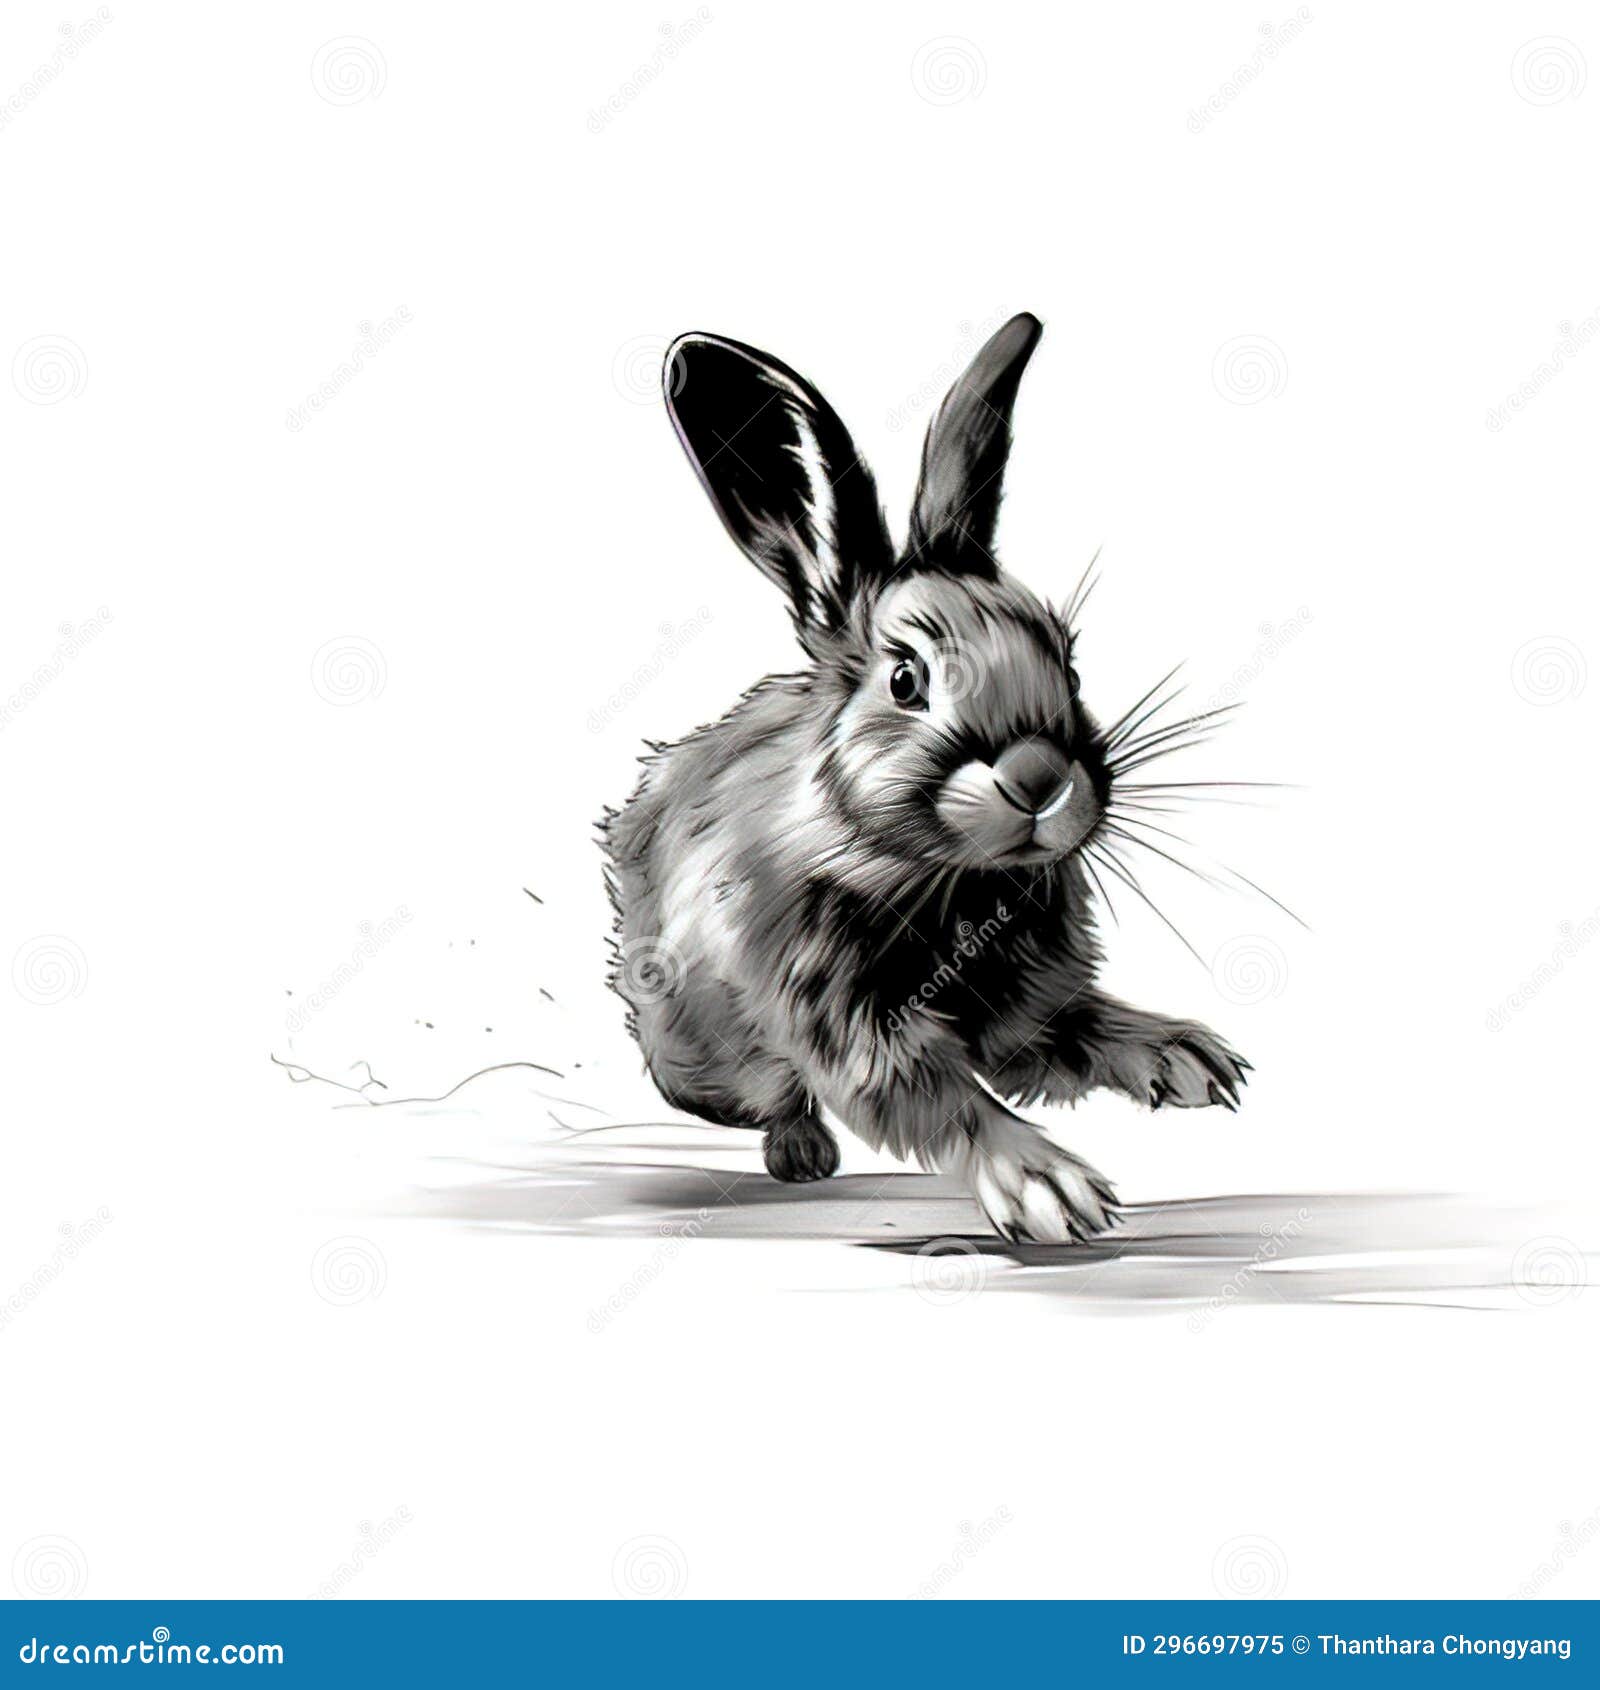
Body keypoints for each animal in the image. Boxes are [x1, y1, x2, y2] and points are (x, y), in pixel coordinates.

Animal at [600, 313, 1248, 1243]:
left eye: (1068, 664)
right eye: (906, 681)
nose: (1040, 777)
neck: (950, 883)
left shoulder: (1029, 1006)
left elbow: (1076, 1025)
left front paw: (1187, 1055)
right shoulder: (841, 1014)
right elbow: (942, 1098)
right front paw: (1049, 1188)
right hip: (698, 1057)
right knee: (770, 1097)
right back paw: (802, 1153)